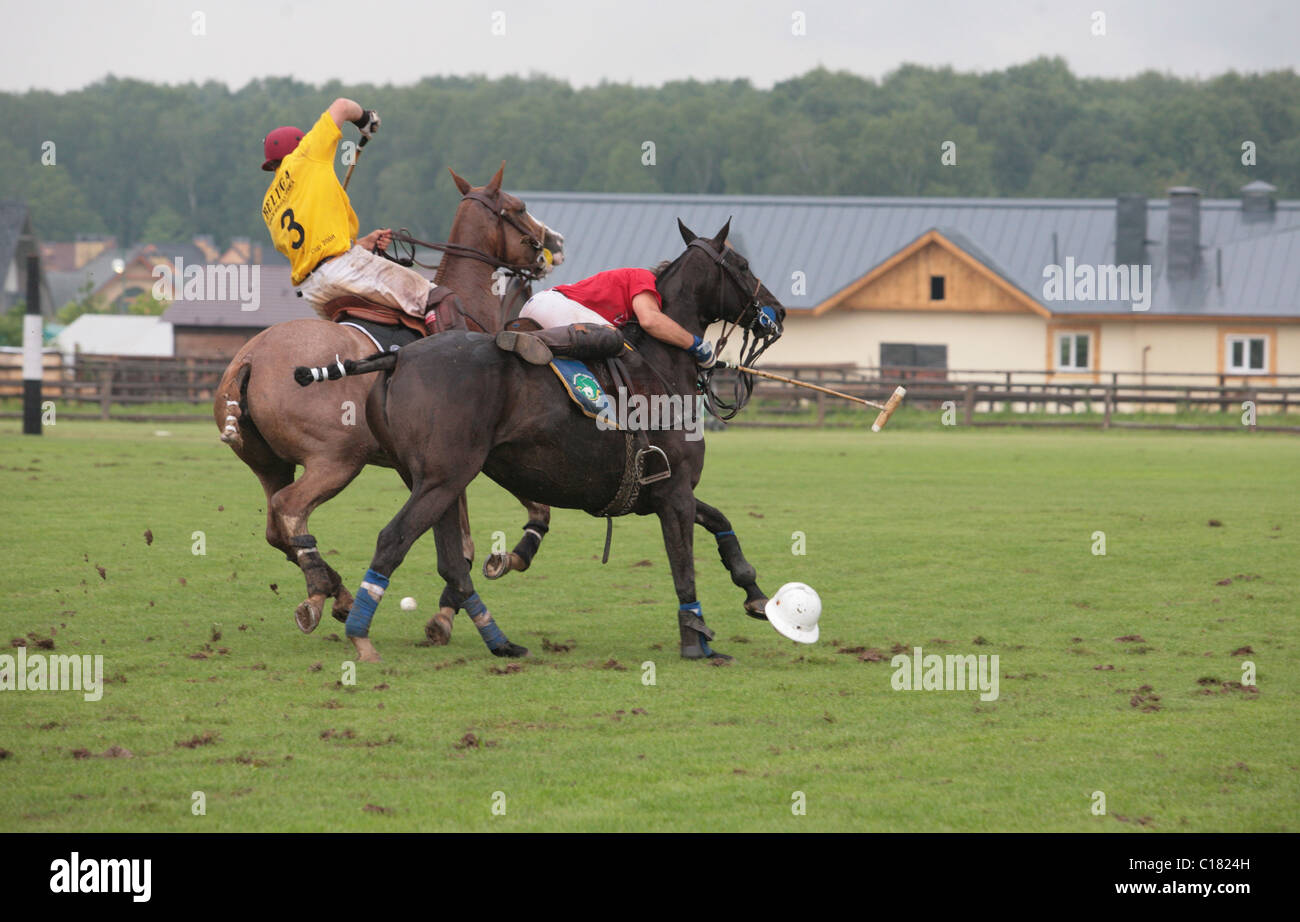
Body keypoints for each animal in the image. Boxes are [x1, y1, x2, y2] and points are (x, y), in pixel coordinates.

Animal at [213, 164, 564, 636]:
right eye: (519, 207)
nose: (555, 244)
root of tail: (249, 358)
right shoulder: (467, 455)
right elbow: (500, 524)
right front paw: (468, 592)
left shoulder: (425, 465)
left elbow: (459, 532)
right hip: (337, 458)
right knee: (290, 509)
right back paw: (320, 594)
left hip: (268, 463)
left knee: (275, 524)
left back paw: (335, 593)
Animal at [314, 218, 785, 664]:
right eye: (742, 264)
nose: (777, 312)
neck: (662, 363)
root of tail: (398, 357)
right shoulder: (674, 491)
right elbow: (684, 567)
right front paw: (696, 642)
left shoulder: (662, 492)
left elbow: (721, 521)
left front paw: (756, 596)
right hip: (442, 479)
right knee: (393, 540)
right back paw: (361, 636)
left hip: (435, 483)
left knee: (450, 563)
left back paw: (500, 642)